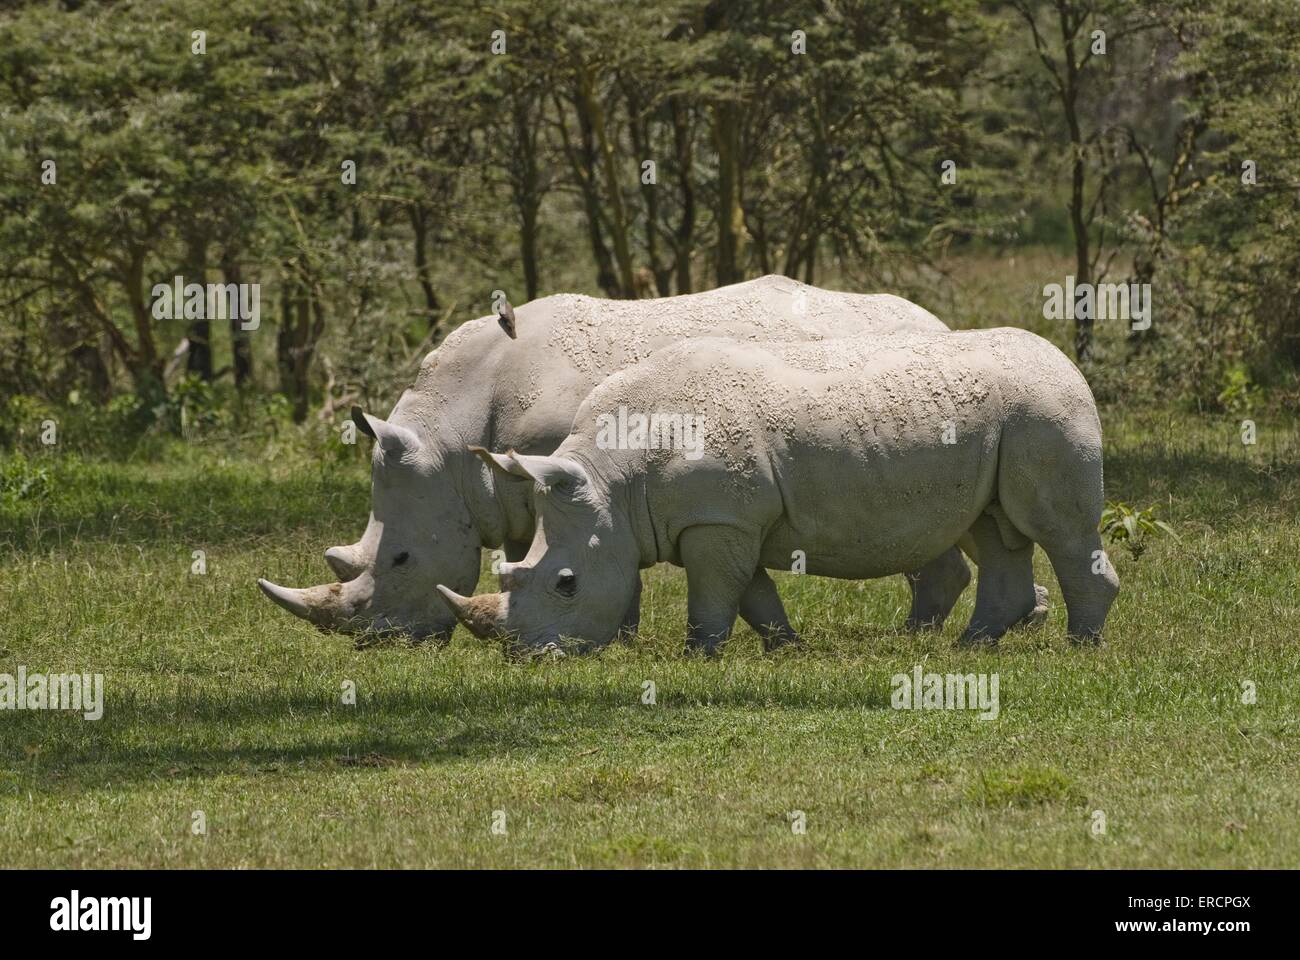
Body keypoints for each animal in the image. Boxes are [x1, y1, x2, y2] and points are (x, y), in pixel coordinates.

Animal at [257, 275, 981, 642]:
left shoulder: (557, 464)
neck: (453, 444)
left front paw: (616, 635)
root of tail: (938, 324)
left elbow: (592, 547)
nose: (375, 643)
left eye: (402, 559)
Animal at [438, 329, 1117, 652]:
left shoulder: (719, 519)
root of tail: (1068, 365)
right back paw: (972, 648)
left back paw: (1080, 646)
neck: (614, 480)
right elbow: (751, 593)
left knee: (1058, 530)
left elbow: (716, 595)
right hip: (1009, 419)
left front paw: (699, 656)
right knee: (995, 529)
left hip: (1045, 410)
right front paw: (785, 646)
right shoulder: (731, 519)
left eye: (566, 584)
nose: (524, 657)